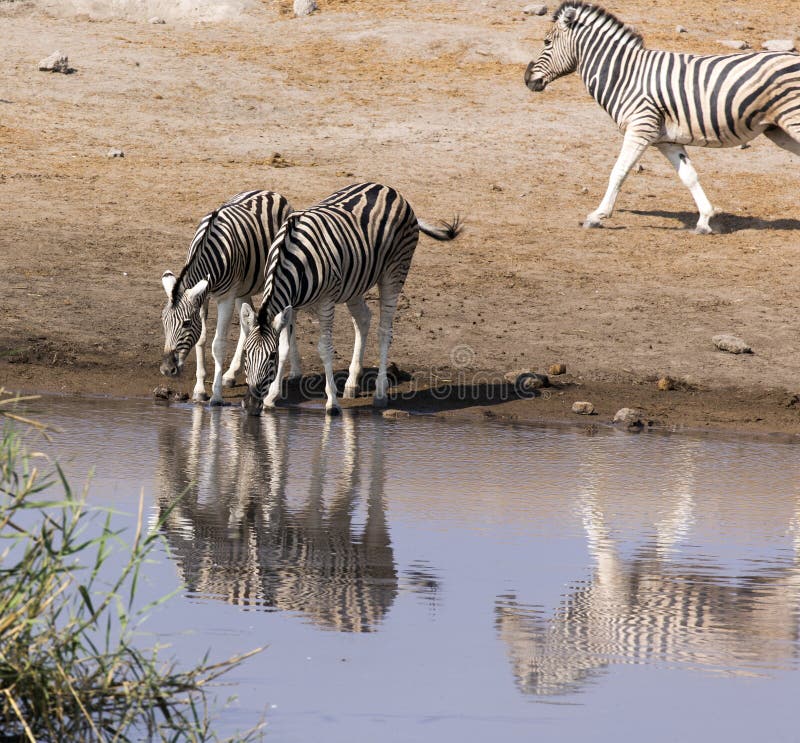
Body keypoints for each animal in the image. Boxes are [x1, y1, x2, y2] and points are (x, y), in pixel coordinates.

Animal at [159, 189, 295, 405]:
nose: (166, 370)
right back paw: (232, 374)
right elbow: (201, 339)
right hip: (244, 289)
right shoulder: (204, 296)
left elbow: (218, 345)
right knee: (248, 325)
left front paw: (215, 396)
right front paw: (200, 389)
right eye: (163, 322)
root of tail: (271, 192)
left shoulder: (226, 297)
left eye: (186, 324)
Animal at [239, 182, 462, 415]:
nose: (250, 405)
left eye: (270, 357)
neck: (293, 260)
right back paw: (352, 383)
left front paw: (332, 402)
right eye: (246, 353)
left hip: (394, 273)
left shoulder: (326, 302)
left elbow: (324, 349)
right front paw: (271, 397)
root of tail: (390, 189)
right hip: (356, 283)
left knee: (385, 331)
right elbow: (285, 347)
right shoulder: (290, 305)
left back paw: (380, 393)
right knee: (363, 319)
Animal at [524, 1, 800, 233]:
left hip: (793, 121)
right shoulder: (666, 140)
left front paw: (597, 216)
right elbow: (689, 176)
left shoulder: (640, 128)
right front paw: (704, 220)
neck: (624, 75)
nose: (527, 80)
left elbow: (619, 171)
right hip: (778, 130)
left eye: (546, 42)